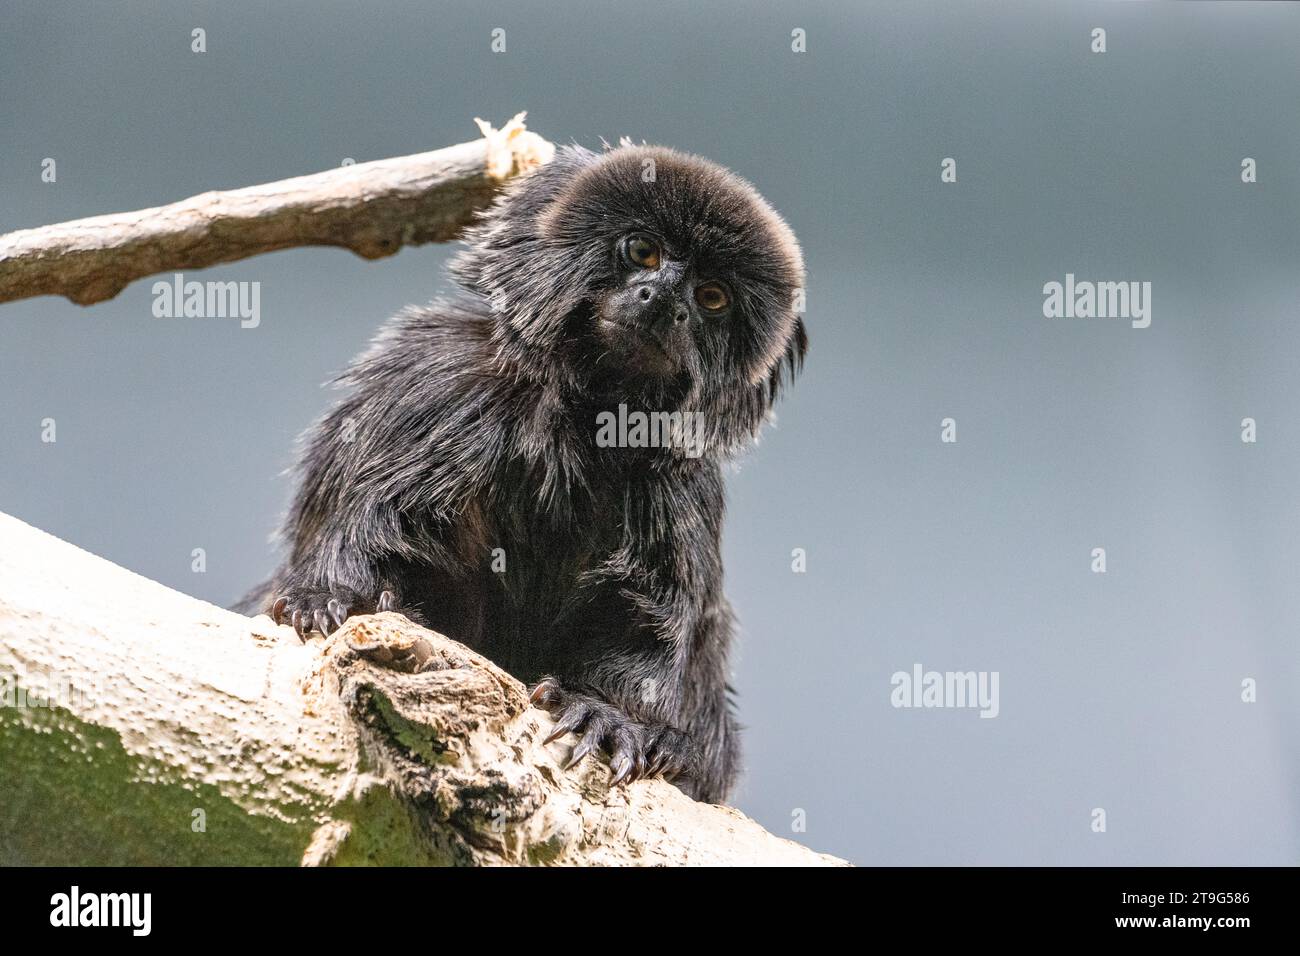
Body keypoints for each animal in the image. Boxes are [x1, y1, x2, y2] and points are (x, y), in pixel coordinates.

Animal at [237, 143, 807, 804]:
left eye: (712, 297)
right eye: (644, 252)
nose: (665, 299)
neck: (585, 415)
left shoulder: (680, 485)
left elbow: (649, 611)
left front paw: (609, 714)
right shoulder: (439, 387)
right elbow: (370, 515)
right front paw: (329, 597)